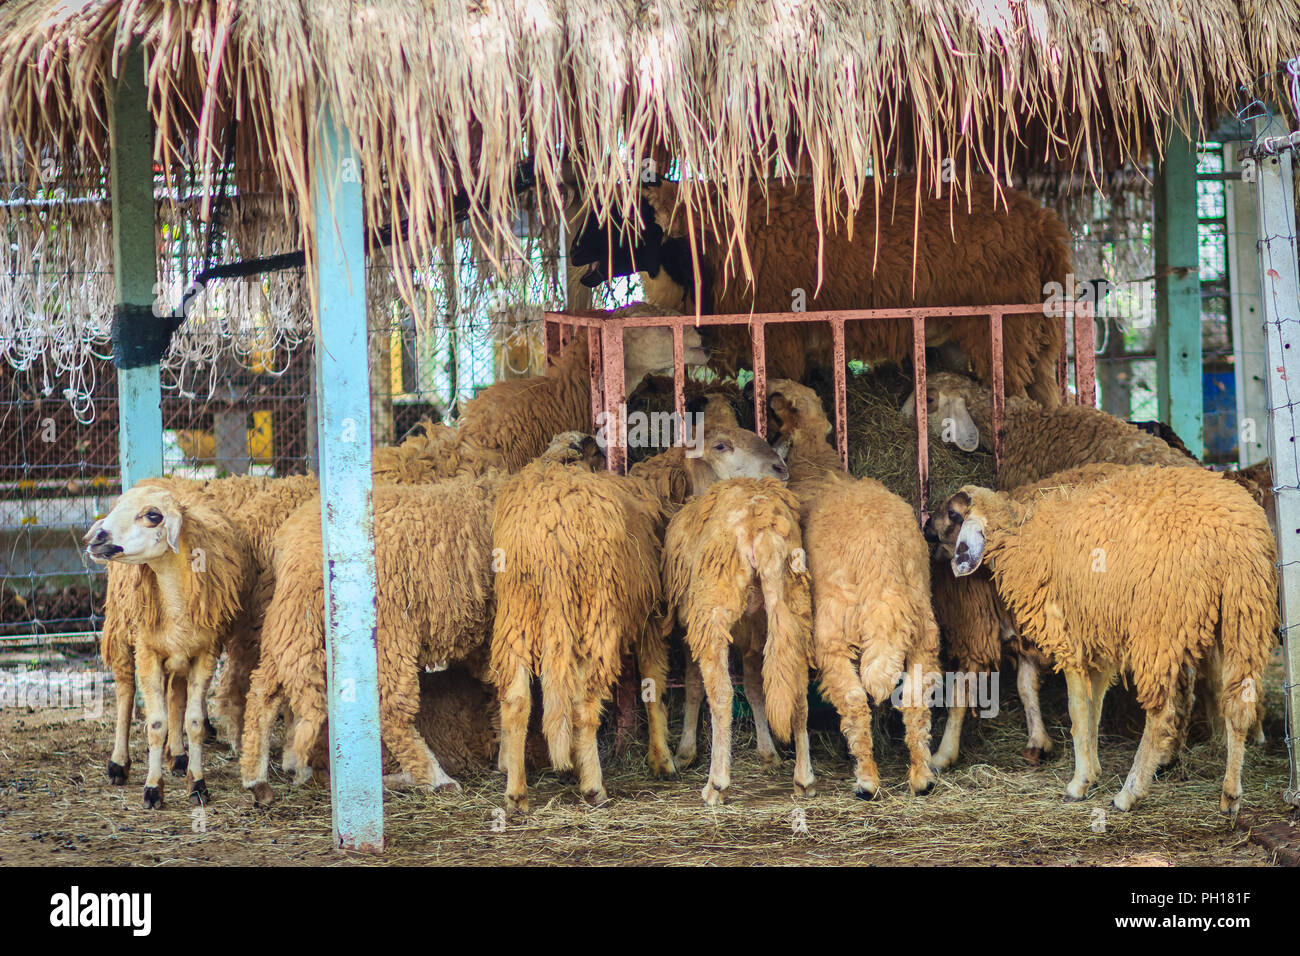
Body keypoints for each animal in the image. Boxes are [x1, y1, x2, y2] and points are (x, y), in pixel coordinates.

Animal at [86, 485, 255, 807]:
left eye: (153, 515)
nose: (95, 537)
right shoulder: (147, 651)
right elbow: (155, 724)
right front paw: (153, 789)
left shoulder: (205, 653)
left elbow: (195, 722)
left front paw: (197, 784)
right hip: (122, 633)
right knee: (125, 692)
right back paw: (118, 764)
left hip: (178, 655)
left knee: (176, 695)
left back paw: (177, 756)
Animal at [569, 176, 1070, 406]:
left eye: (615, 215)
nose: (573, 254)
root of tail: (1045, 223)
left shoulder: (779, 338)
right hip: (1022, 336)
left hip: (1006, 332)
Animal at [765, 379, 941, 797]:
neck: (814, 462)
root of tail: (881, 561)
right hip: (922, 631)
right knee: (916, 703)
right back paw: (921, 778)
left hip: (834, 631)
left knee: (855, 701)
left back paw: (866, 781)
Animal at [930, 465, 1277, 812]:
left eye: (953, 513)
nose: (925, 529)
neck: (1023, 537)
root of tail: (1232, 538)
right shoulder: (1098, 643)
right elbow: (1092, 706)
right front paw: (1092, 770)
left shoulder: (1068, 638)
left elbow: (1077, 711)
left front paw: (1079, 781)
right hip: (1244, 616)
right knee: (1238, 703)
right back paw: (1230, 794)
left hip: (1160, 625)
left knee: (1163, 711)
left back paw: (1130, 792)